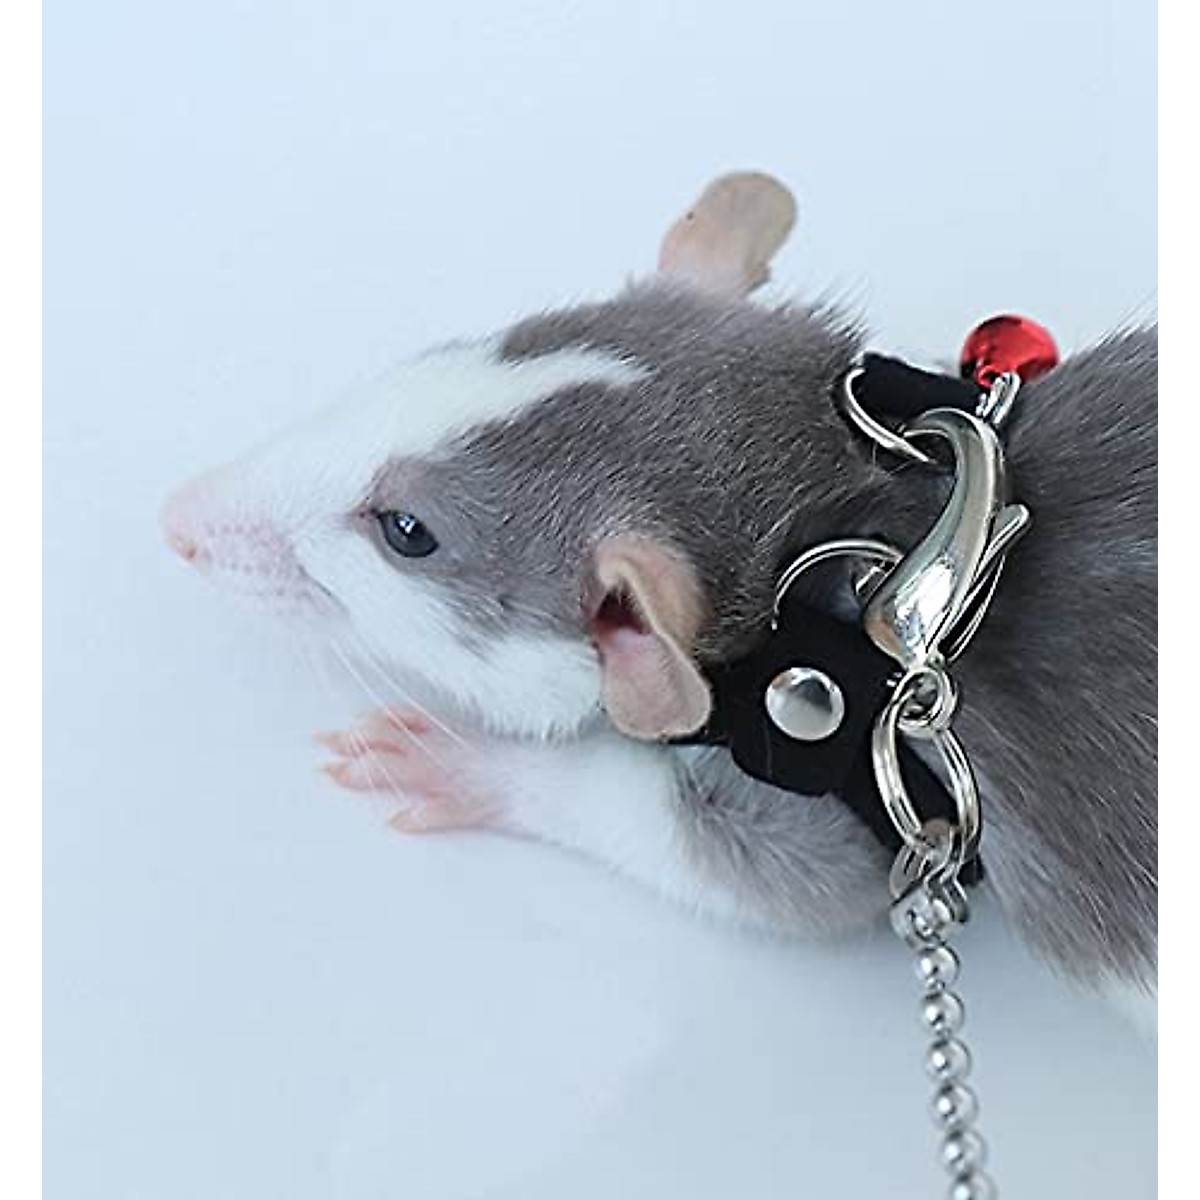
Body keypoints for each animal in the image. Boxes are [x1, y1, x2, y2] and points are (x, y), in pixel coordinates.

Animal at [161, 172, 1157, 1023]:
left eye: (406, 530)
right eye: (436, 360)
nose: (181, 521)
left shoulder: (855, 777)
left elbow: (773, 870)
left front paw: (464, 761)